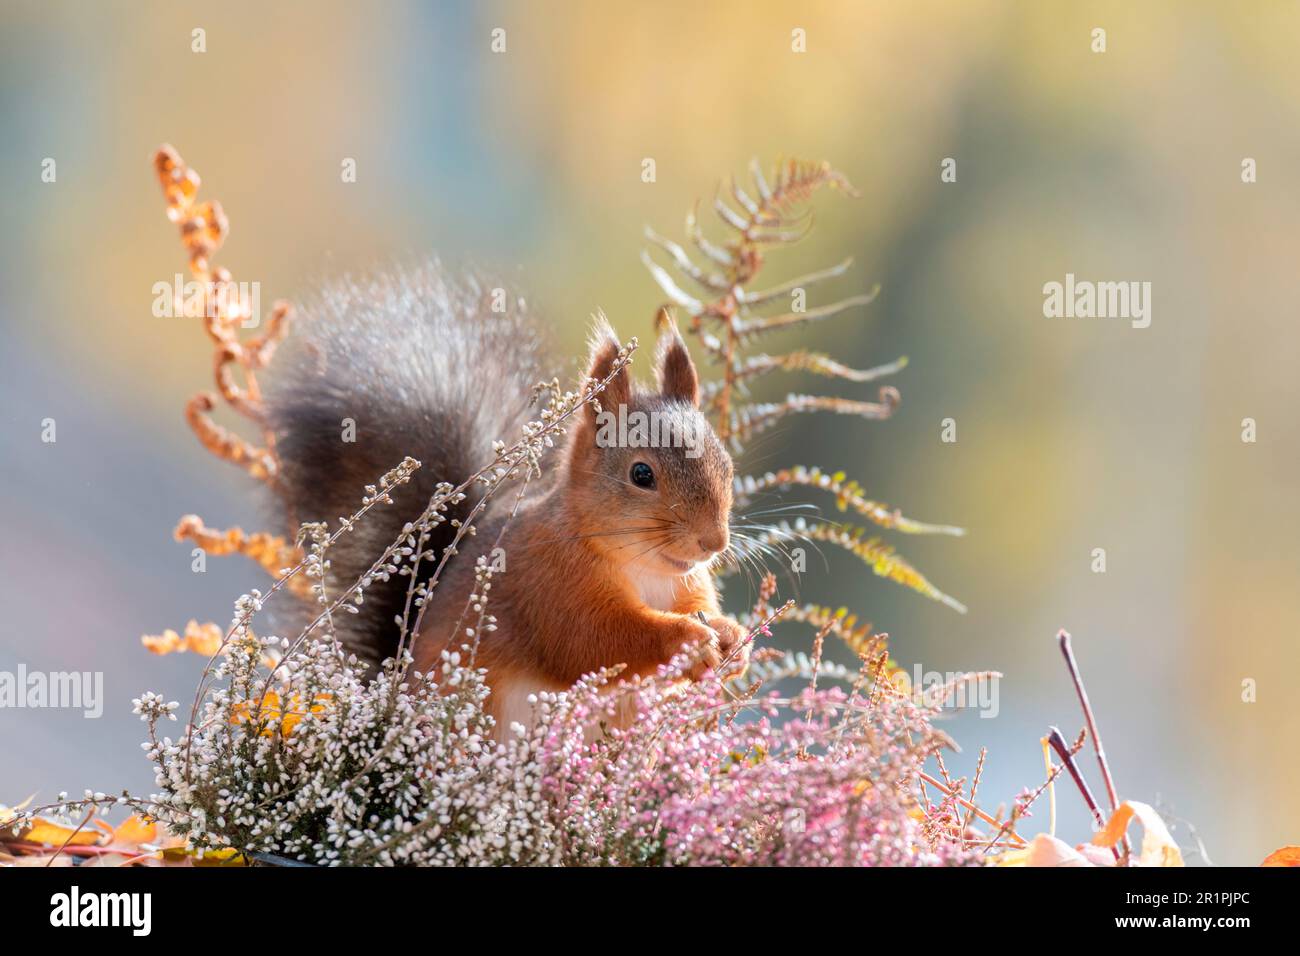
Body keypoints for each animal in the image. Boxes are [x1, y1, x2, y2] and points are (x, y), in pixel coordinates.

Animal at [266, 261, 748, 730]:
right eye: (642, 474)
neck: (643, 568)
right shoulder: (548, 584)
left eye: (726, 464)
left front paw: (731, 636)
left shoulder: (688, 583)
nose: (713, 542)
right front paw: (687, 639)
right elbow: (593, 640)